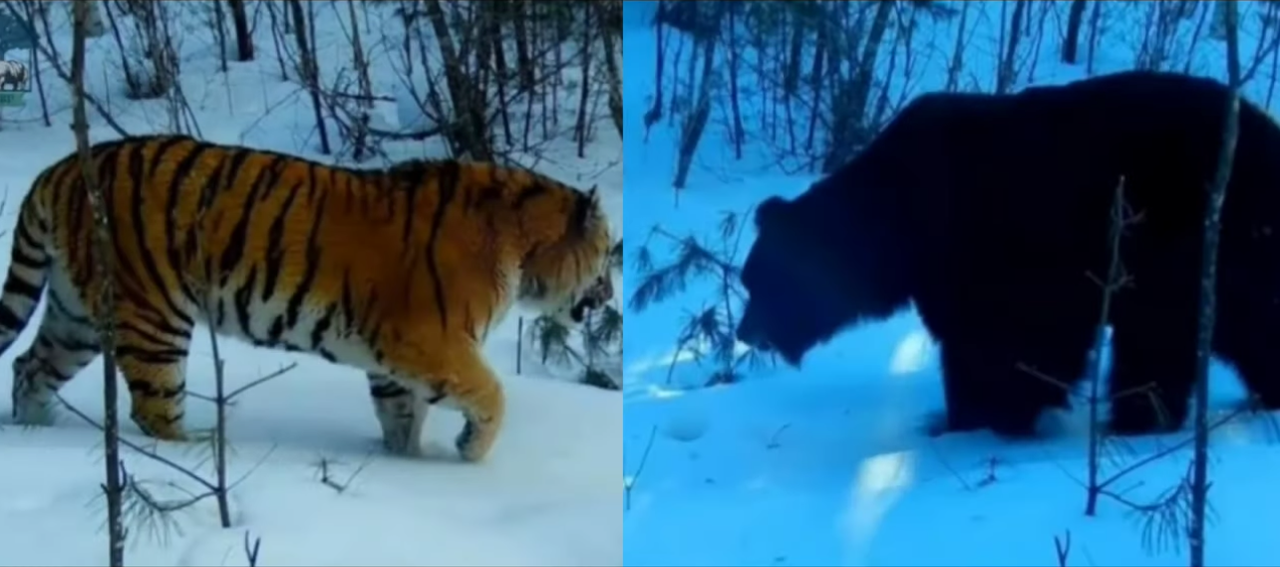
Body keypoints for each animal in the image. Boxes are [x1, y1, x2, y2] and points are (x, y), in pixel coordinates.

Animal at [0, 134, 615, 463]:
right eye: (609, 254)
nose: (609, 297)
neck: (523, 249)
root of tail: (58, 169)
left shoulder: (393, 359)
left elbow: (402, 416)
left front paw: (406, 464)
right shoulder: (431, 340)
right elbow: (492, 394)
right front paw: (469, 450)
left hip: (76, 316)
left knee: (30, 367)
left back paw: (35, 434)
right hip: (153, 316)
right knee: (152, 408)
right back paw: (198, 446)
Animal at [734, 70, 1280, 438]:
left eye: (760, 281)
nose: (744, 331)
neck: (905, 222)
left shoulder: (1003, 250)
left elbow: (1018, 343)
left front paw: (994, 416)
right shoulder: (947, 278)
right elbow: (966, 344)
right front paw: (963, 416)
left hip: (1192, 236)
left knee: (1170, 336)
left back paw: (1134, 419)